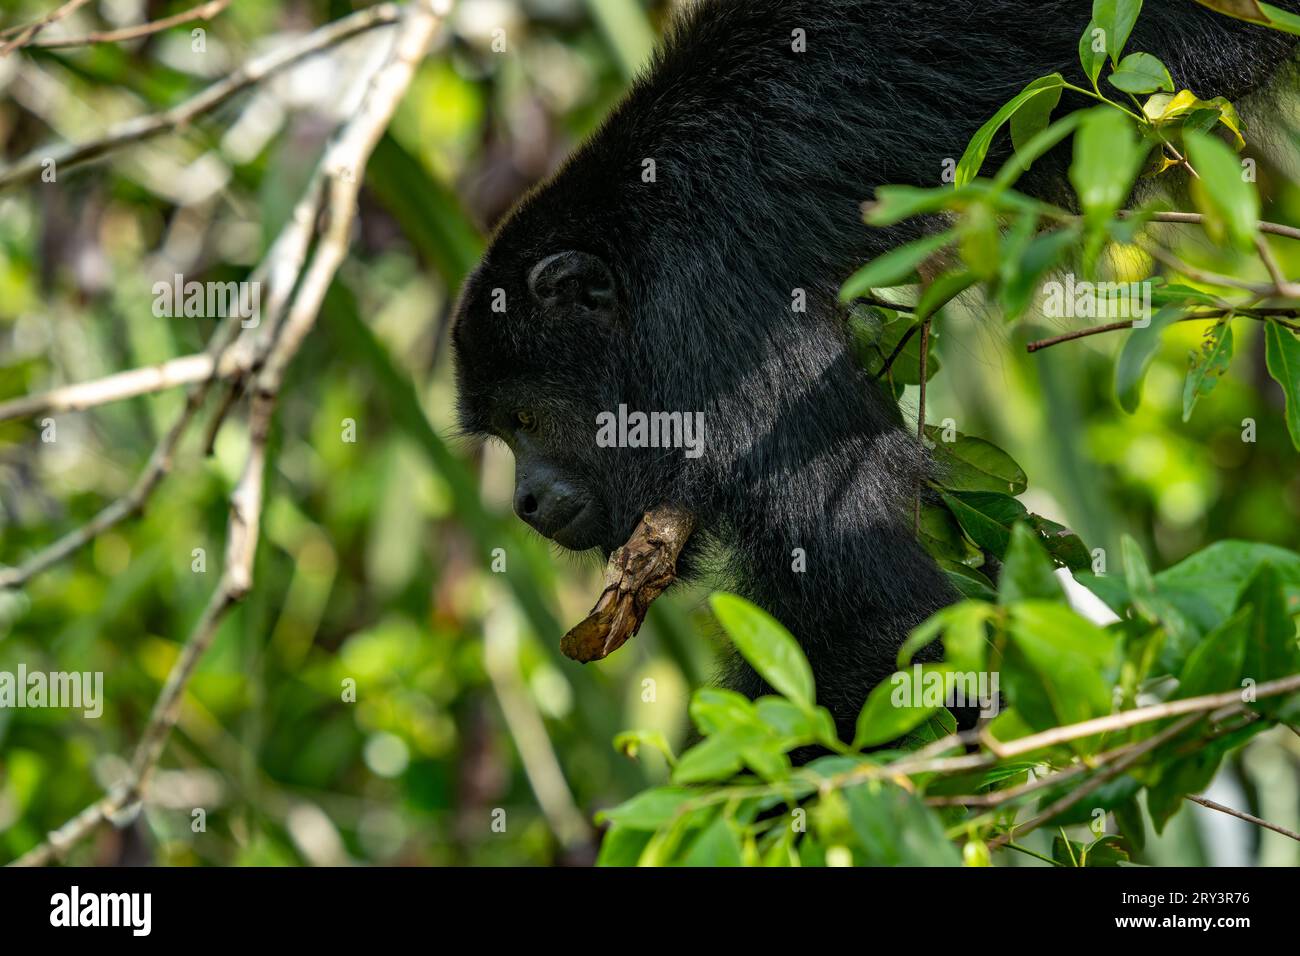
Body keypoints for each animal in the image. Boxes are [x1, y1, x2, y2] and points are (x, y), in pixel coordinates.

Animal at [451, 0, 1298, 744]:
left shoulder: (709, 318)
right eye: (502, 436)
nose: (524, 500)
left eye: (525, 418)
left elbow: (871, 609)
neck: (630, 248)